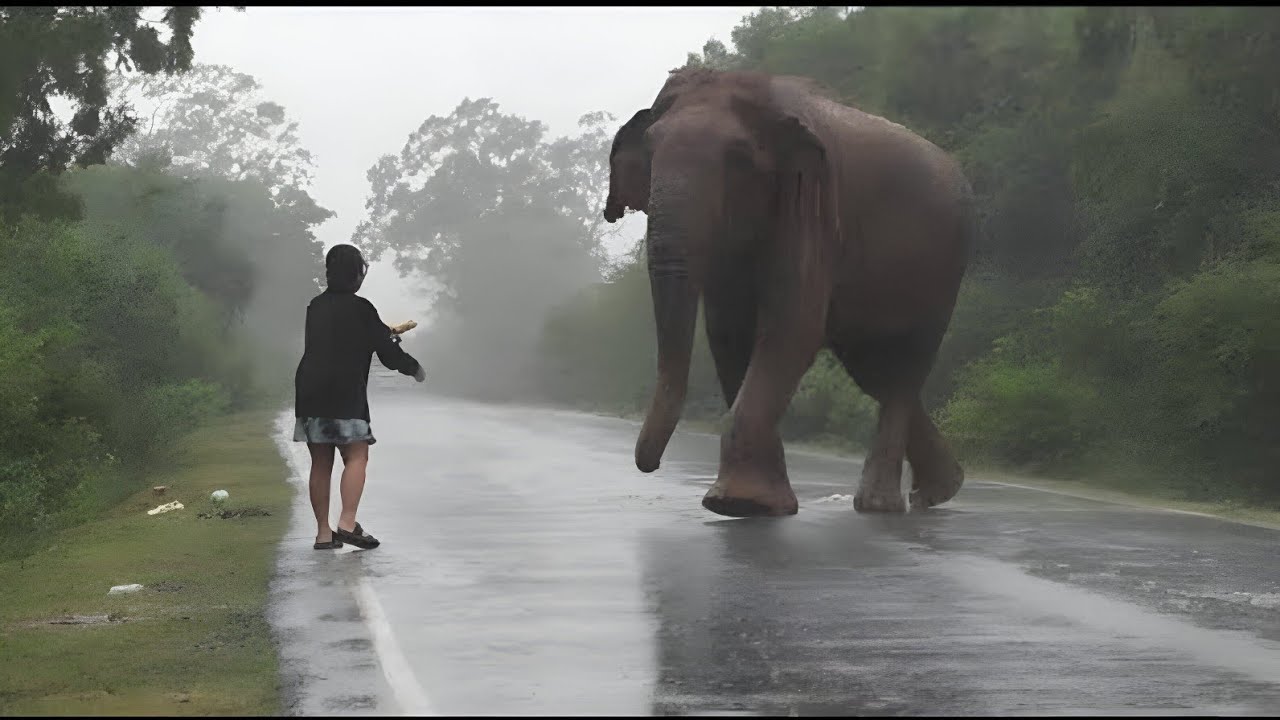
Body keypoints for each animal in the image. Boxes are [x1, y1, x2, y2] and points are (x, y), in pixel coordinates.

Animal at [603, 68, 973, 516]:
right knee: (873, 371)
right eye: (651, 150)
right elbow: (730, 336)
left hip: (944, 269)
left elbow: (790, 329)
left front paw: (738, 503)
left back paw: (879, 505)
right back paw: (940, 491)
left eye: (739, 159)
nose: (649, 466)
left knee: (905, 365)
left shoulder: (810, 209)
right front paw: (754, 504)